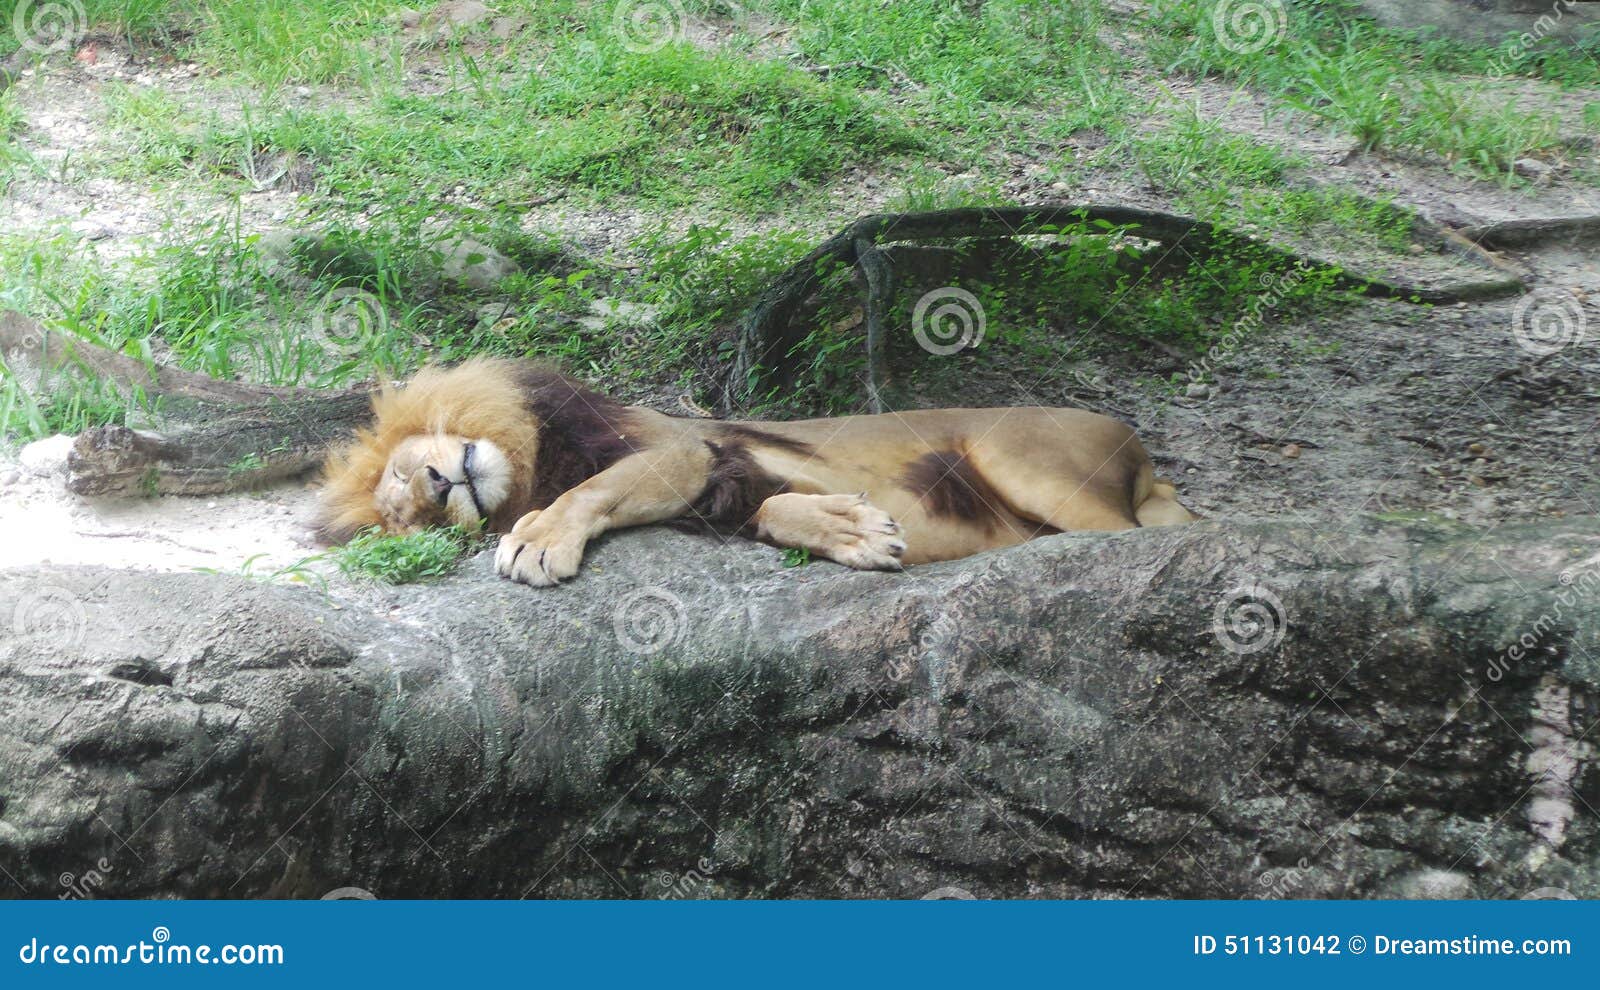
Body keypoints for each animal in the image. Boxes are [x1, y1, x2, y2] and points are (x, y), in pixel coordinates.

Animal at [317, 358, 1196, 586]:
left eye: (403, 475)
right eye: (412, 517)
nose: (439, 487)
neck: (533, 460)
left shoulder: (679, 445)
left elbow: (589, 491)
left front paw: (537, 538)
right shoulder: (721, 489)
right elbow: (774, 513)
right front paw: (857, 532)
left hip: (1030, 462)